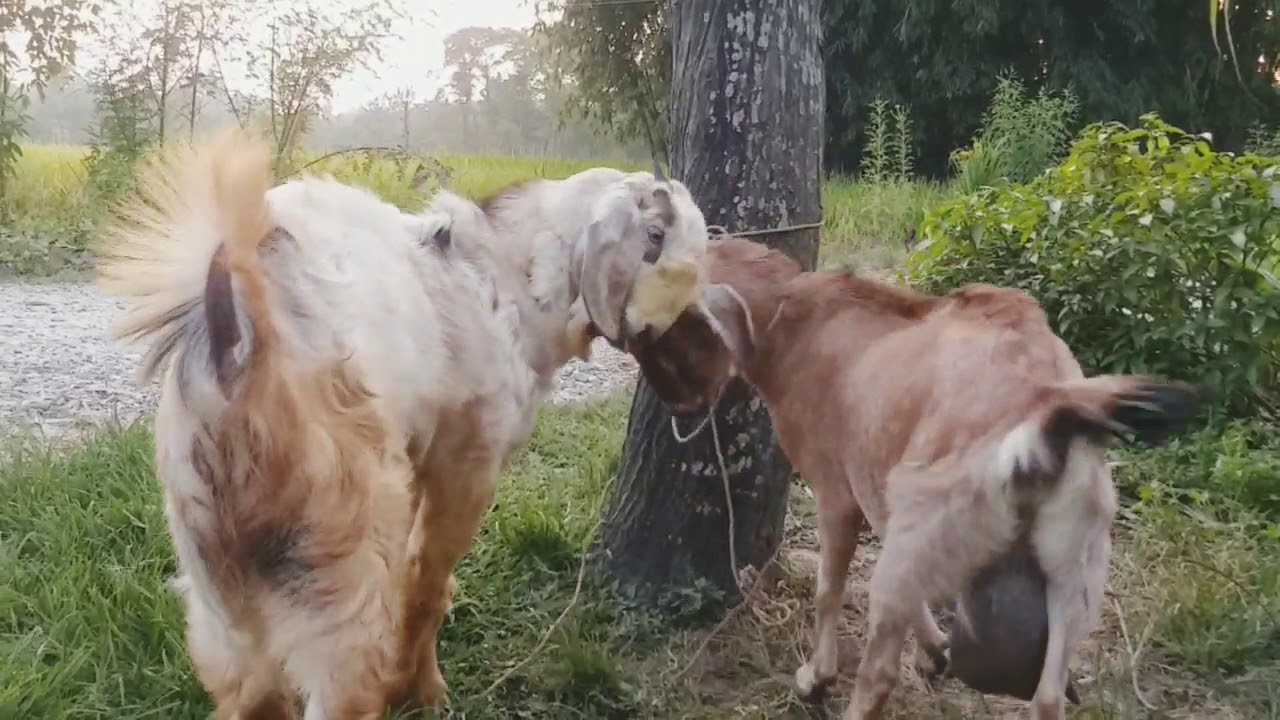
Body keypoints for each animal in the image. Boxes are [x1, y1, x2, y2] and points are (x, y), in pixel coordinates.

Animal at [96, 129, 710, 719]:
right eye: (666, 241)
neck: (510, 276)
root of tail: (239, 349)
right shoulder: (467, 464)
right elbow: (428, 581)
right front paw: (423, 691)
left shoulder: (417, 455)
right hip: (341, 568)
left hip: (216, 583)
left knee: (250, 693)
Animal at [628, 235, 1205, 720]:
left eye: (665, 330)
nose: (677, 406)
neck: (792, 320)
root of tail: (1043, 412)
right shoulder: (882, 489)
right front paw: (936, 649)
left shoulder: (839, 493)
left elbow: (828, 590)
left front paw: (817, 677)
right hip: (1073, 569)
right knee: (1047, 697)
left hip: (927, 529)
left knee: (880, 673)